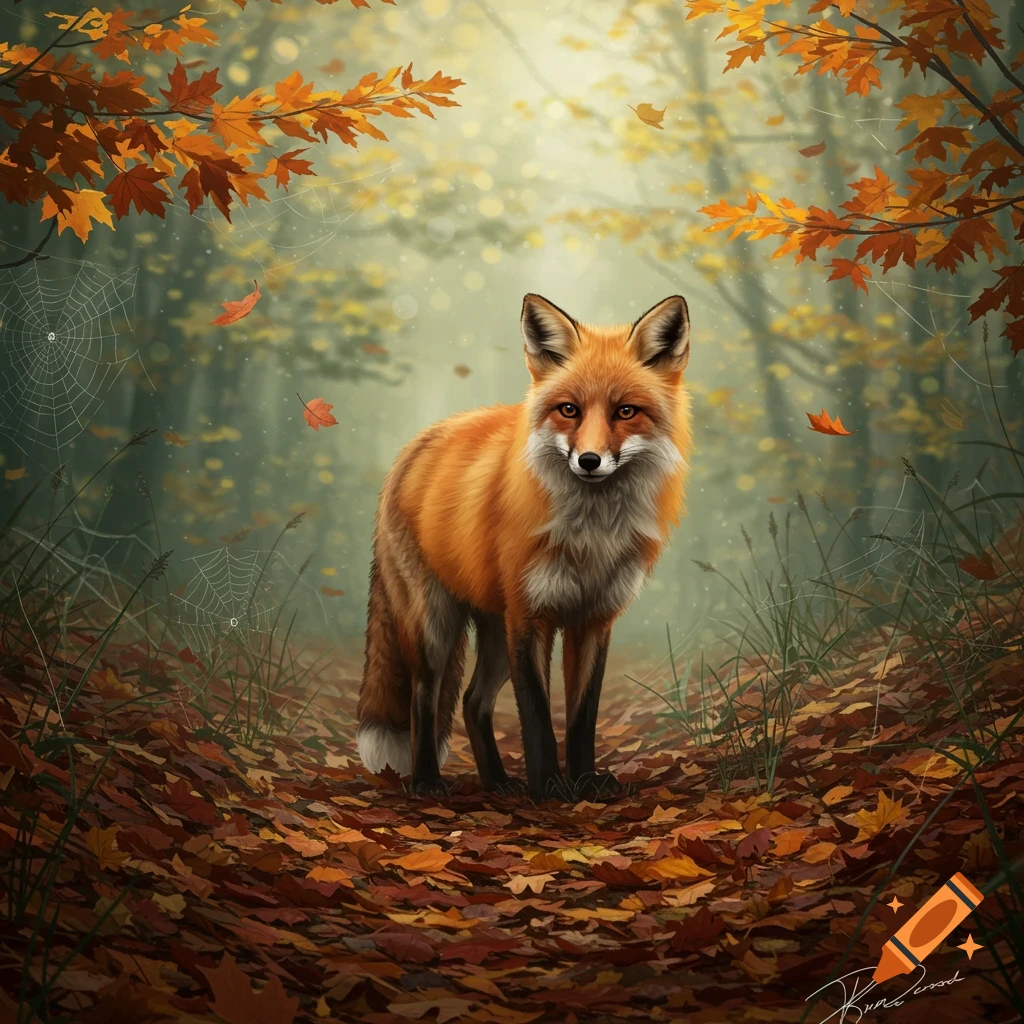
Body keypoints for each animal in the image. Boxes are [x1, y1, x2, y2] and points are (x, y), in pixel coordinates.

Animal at [356, 293, 693, 801]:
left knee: (472, 702)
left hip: (495, 633)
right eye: (569, 410)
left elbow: (581, 717)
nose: (589, 460)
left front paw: (584, 781)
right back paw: (427, 780)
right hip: (436, 624)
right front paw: (550, 785)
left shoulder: (593, 619)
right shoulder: (530, 616)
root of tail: (414, 446)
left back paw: (497, 781)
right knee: (423, 698)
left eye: (625, 412)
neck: (590, 538)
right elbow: (536, 716)